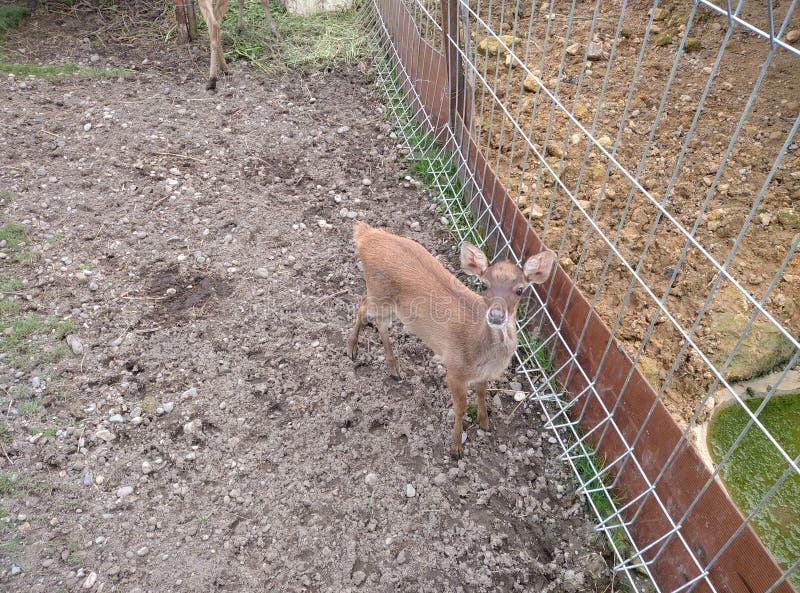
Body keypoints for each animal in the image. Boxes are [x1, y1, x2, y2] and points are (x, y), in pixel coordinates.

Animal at [346, 222, 556, 459]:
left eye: (520, 289)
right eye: (483, 285)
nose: (496, 315)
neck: (481, 354)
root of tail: (366, 234)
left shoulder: (483, 374)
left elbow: (482, 393)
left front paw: (485, 423)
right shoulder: (454, 369)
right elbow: (460, 407)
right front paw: (455, 447)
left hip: (390, 303)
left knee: (379, 322)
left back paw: (394, 369)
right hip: (378, 292)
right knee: (362, 305)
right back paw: (351, 349)